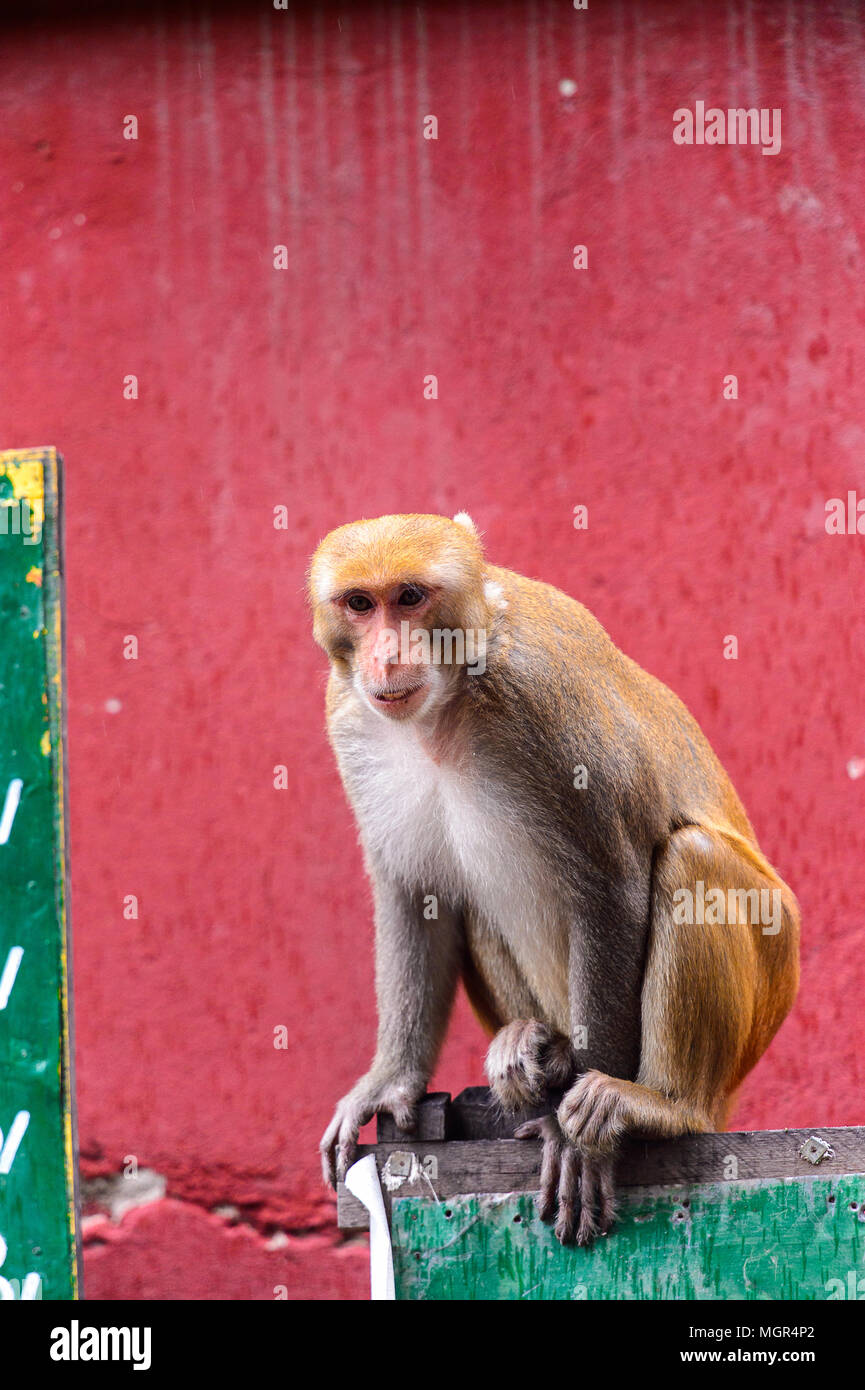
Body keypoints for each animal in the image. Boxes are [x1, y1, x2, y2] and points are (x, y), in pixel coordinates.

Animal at [309, 512, 800, 1246]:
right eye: (360, 604)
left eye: (410, 598)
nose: (385, 657)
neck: (448, 706)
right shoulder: (348, 715)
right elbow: (416, 895)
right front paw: (389, 1081)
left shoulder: (539, 700)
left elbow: (611, 885)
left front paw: (580, 1141)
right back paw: (538, 1044)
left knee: (692, 859)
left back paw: (662, 1103)